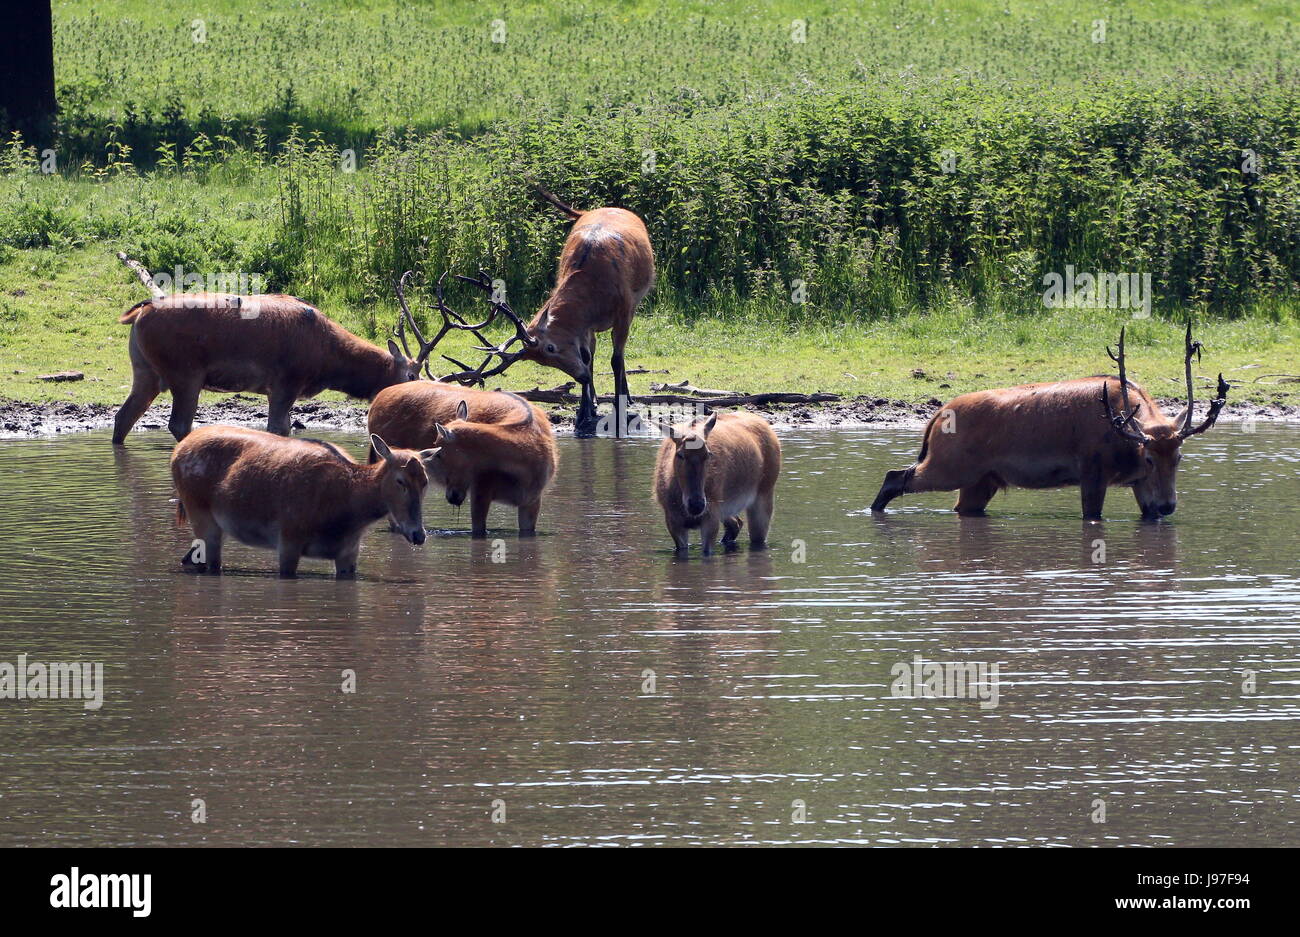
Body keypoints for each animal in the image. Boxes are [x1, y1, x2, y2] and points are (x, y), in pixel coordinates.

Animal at [111, 253, 428, 445]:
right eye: (412, 376)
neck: (330, 361)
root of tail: (140, 311)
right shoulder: (287, 382)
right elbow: (278, 428)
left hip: (145, 370)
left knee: (124, 416)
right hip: (185, 372)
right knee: (179, 424)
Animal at [171, 426, 437, 578]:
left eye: (425, 481)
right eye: (400, 481)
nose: (418, 534)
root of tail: (178, 450)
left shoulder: (349, 553)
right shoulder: (288, 539)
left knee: (189, 558)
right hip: (200, 513)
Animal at [425, 188, 655, 437]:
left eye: (550, 347)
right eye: (544, 362)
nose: (581, 377)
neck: (594, 287)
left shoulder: (625, 309)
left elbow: (615, 359)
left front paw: (619, 409)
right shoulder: (583, 327)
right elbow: (587, 357)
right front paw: (583, 413)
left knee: (618, 356)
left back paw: (627, 397)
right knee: (593, 355)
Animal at [653, 411, 782, 557]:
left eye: (708, 454)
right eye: (680, 454)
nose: (696, 505)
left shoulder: (711, 518)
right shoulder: (673, 521)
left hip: (764, 496)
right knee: (736, 523)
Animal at [870, 323, 1230, 520]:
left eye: (1179, 457)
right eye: (1150, 457)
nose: (1169, 506)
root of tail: (938, 415)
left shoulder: (1139, 484)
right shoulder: (1092, 473)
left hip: (981, 480)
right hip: (950, 468)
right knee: (894, 476)